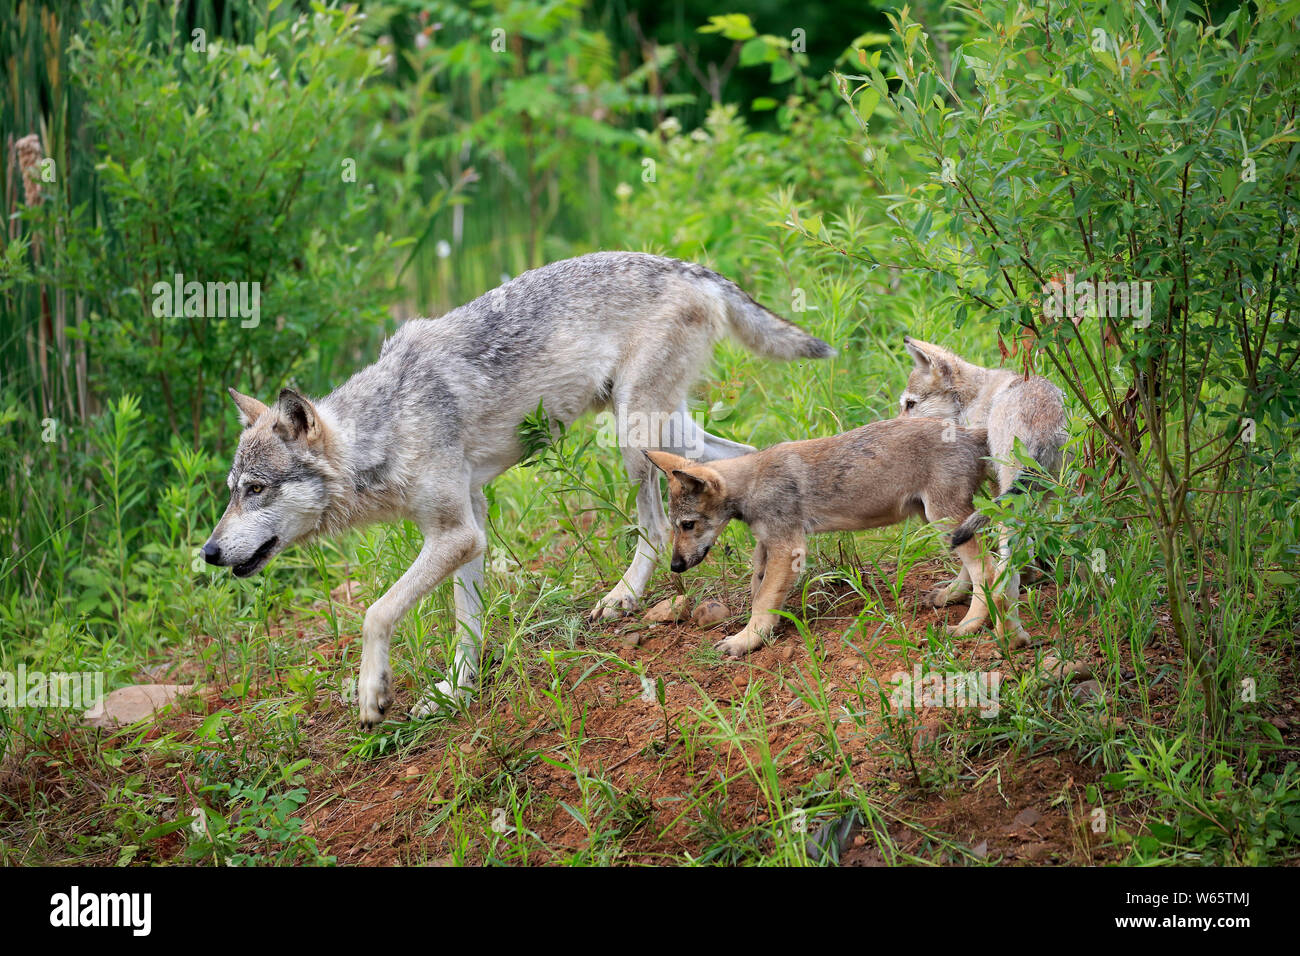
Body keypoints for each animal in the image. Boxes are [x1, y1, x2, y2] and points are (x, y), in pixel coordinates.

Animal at [200, 252, 832, 726]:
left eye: (256, 489)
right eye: (232, 491)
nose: (207, 552)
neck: (386, 426)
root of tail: (689, 267)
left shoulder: (454, 535)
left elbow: (376, 613)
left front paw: (373, 693)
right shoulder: (470, 529)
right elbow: (467, 625)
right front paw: (456, 694)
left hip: (634, 439)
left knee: (655, 527)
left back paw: (625, 598)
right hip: (672, 439)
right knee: (744, 461)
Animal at [645, 417, 995, 656]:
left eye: (688, 525)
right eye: (676, 526)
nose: (675, 566)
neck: (753, 483)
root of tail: (973, 433)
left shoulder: (788, 548)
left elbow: (763, 599)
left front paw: (745, 640)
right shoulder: (767, 543)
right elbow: (758, 589)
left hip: (943, 518)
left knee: (988, 570)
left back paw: (970, 624)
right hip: (940, 521)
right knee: (974, 562)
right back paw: (950, 596)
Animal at [897, 337, 1068, 644]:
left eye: (911, 404)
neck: (972, 399)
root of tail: (1043, 425)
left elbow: (971, 559)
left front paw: (953, 594)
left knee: (999, 582)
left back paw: (997, 634)